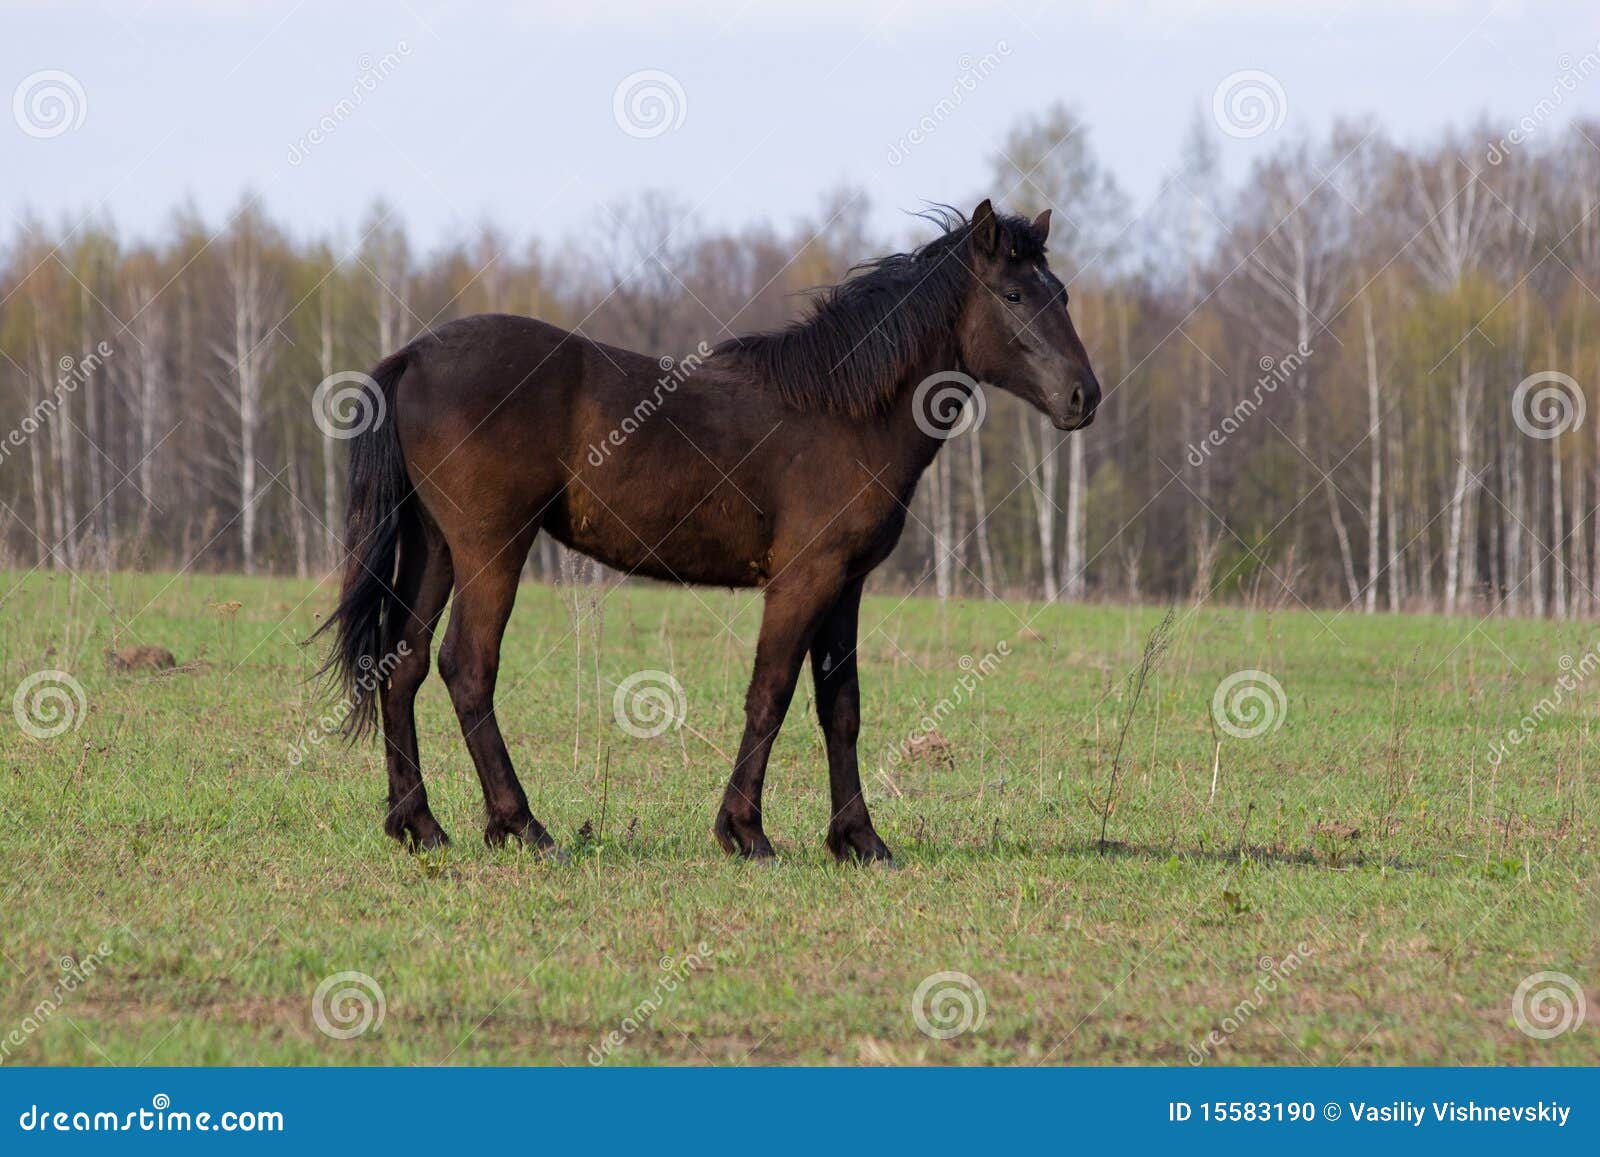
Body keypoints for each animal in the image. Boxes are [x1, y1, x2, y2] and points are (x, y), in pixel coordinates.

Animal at [317, 199, 1100, 863]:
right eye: (1014, 295)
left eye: (1062, 293)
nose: (1083, 397)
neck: (844, 411)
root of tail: (414, 356)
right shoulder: (804, 579)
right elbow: (771, 694)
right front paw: (745, 831)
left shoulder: (845, 585)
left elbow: (840, 708)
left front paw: (859, 839)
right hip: (492, 549)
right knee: (468, 668)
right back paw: (522, 825)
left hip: (437, 548)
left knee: (404, 665)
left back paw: (420, 825)